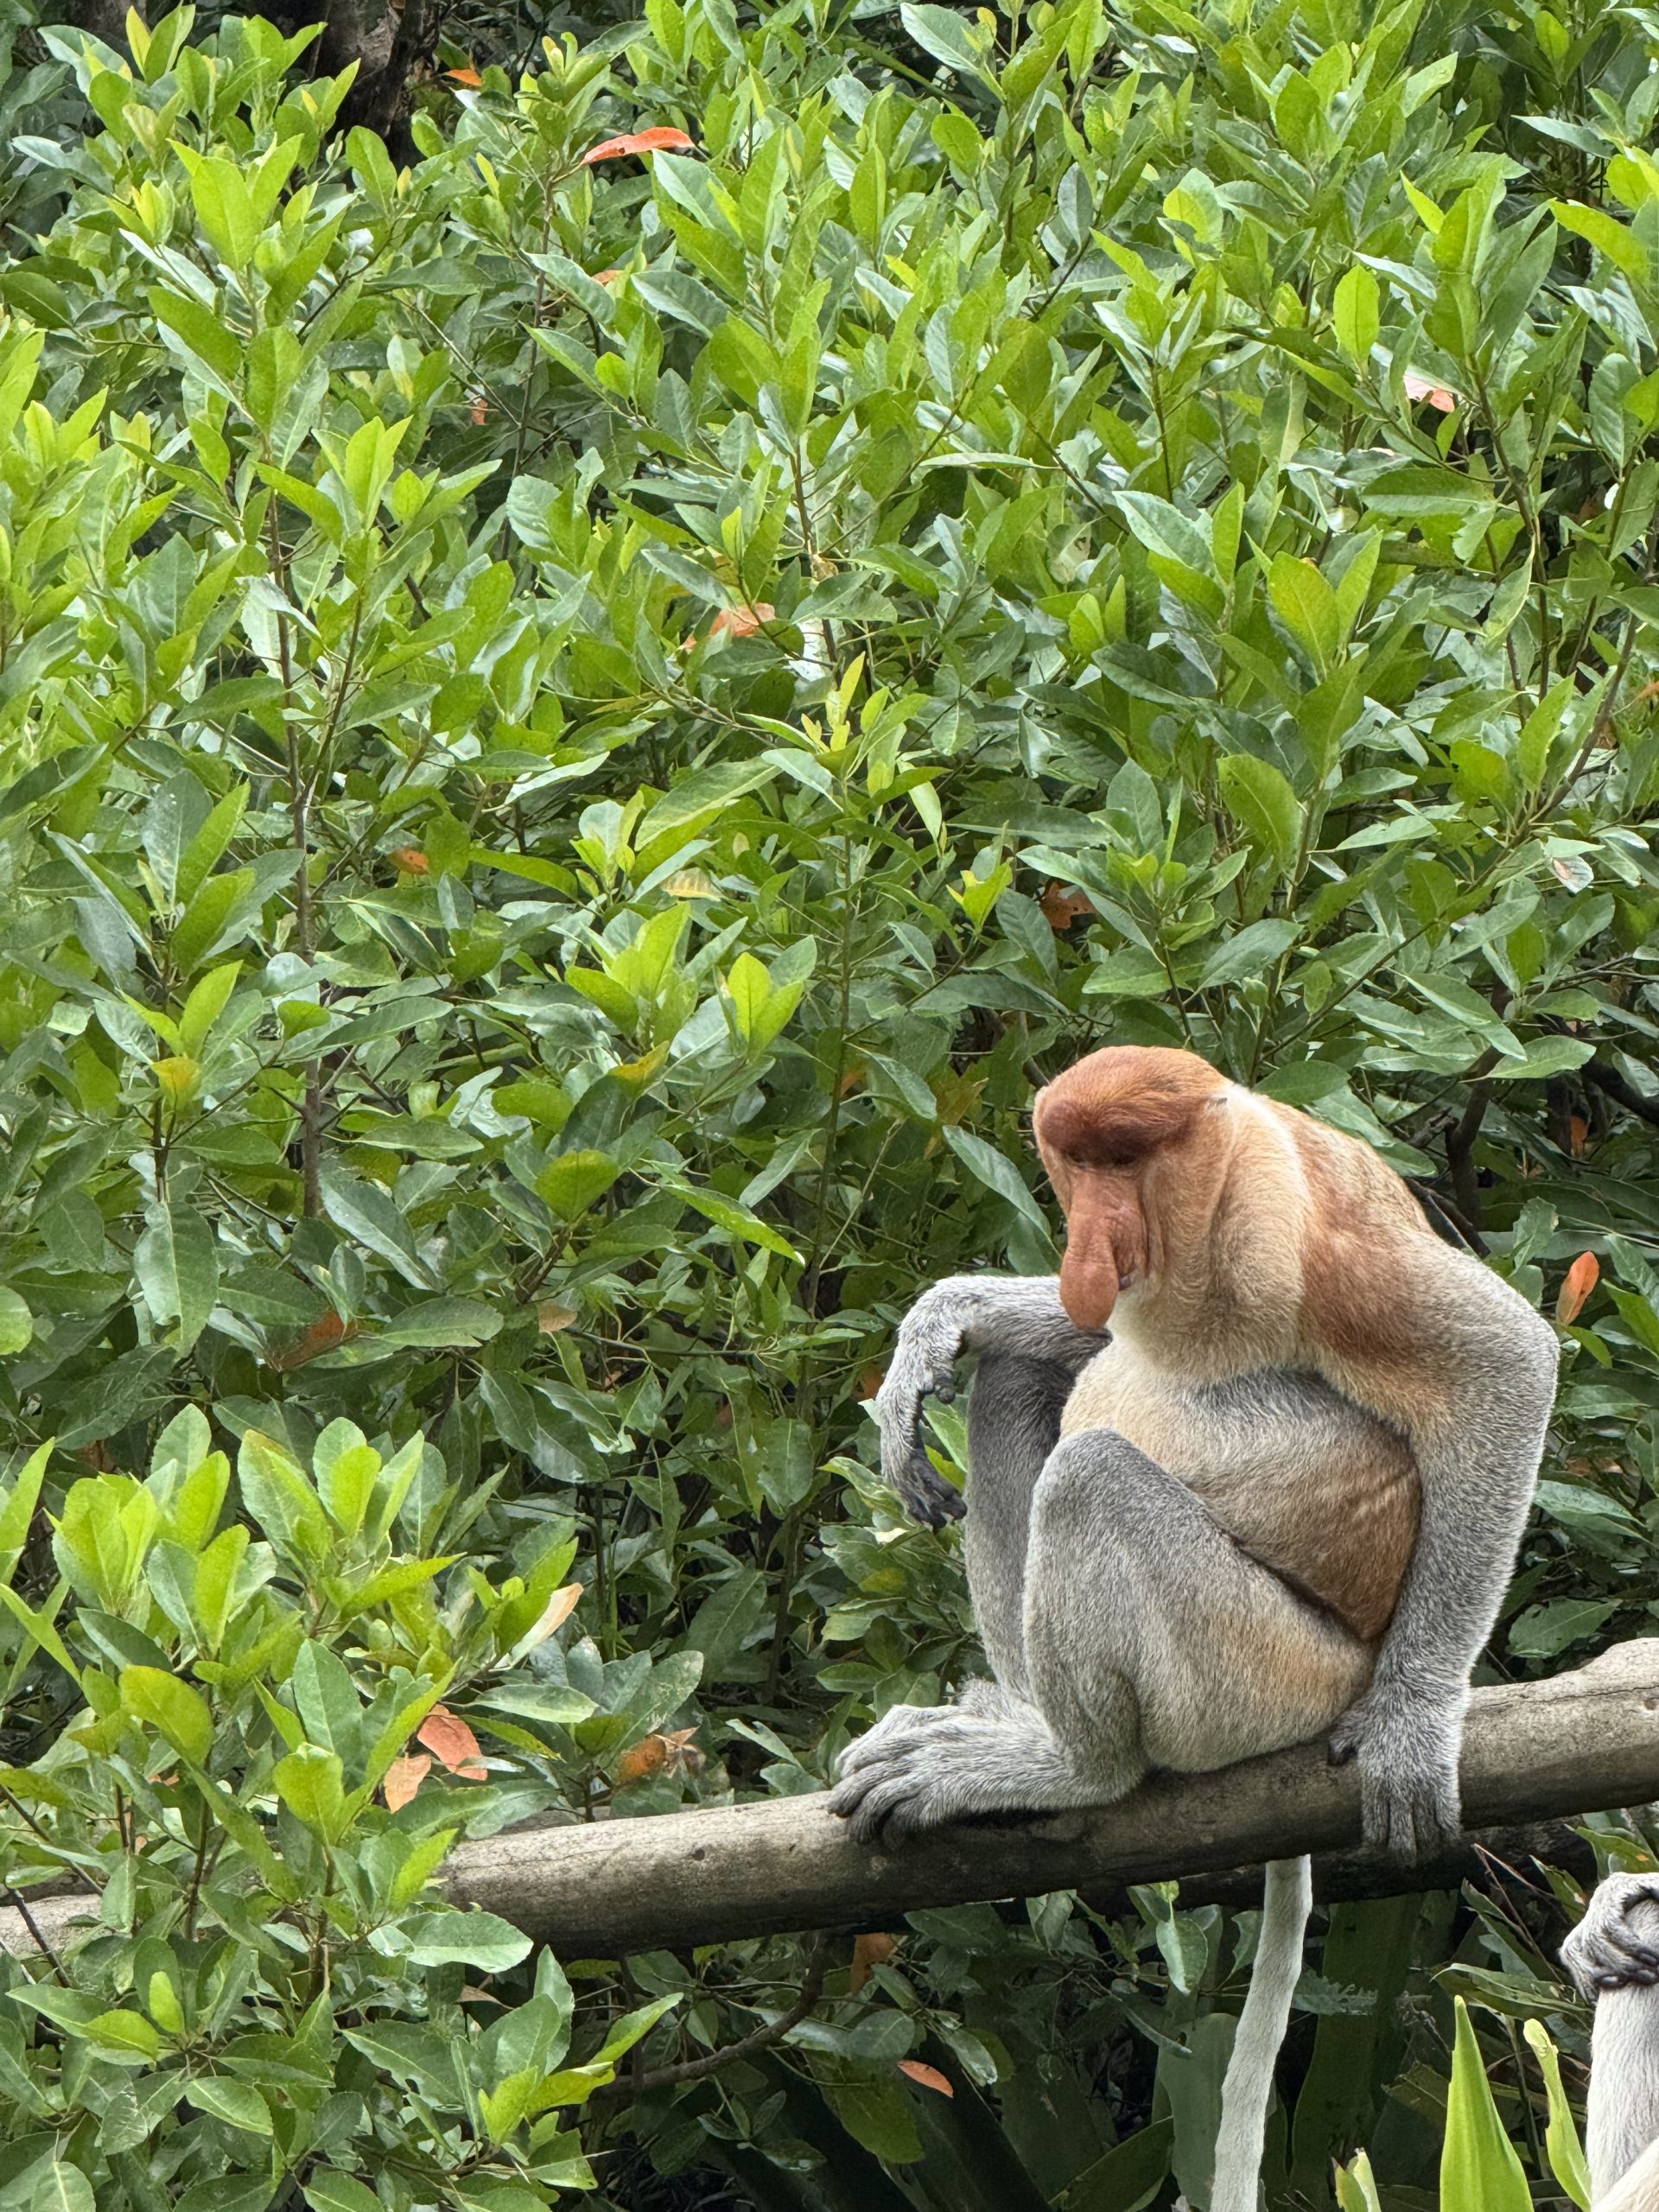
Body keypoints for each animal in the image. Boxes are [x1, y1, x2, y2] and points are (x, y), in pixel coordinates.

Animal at [830, 1044, 1559, 2212]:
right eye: (1074, 1165)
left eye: (1127, 1163)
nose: (1091, 1242)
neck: (1219, 1174)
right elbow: (1079, 1337)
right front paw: (950, 1319)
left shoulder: (1304, 1237)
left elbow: (1508, 1362)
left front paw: (1414, 1723)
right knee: (1021, 1381)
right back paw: (1013, 1714)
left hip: (1259, 1672)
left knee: (1092, 1478)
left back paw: (1064, 1763)